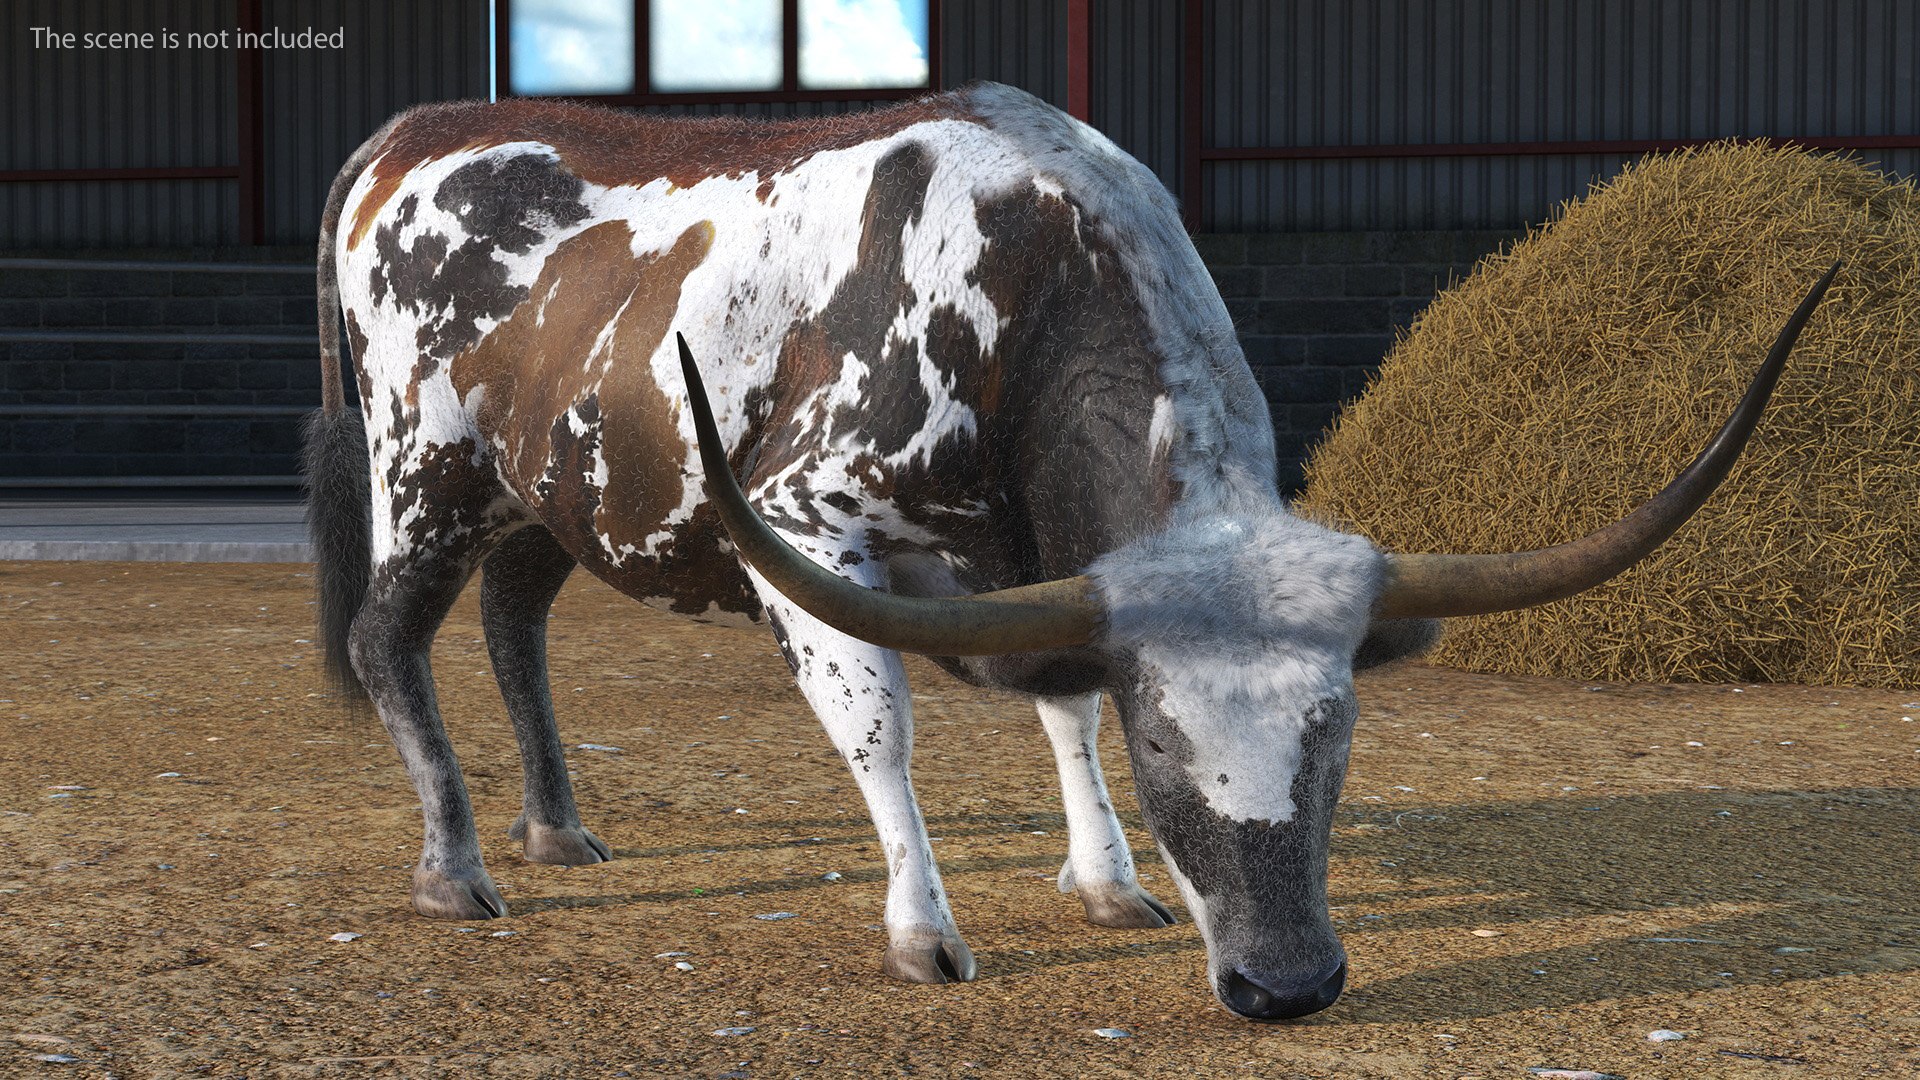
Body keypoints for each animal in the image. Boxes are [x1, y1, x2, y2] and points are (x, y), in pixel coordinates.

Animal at [304, 80, 1835, 1020]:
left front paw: (1105, 882)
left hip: (549, 491)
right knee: (388, 639)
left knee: (514, 617)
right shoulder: (802, 515)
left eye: (1339, 729)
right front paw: (924, 929)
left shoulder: (1031, 568)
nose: (1286, 987)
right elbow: (885, 725)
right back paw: (456, 867)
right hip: (423, 469)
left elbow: (1059, 704)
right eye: (1169, 744)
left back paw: (556, 827)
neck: (1026, 271)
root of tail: (417, 126)